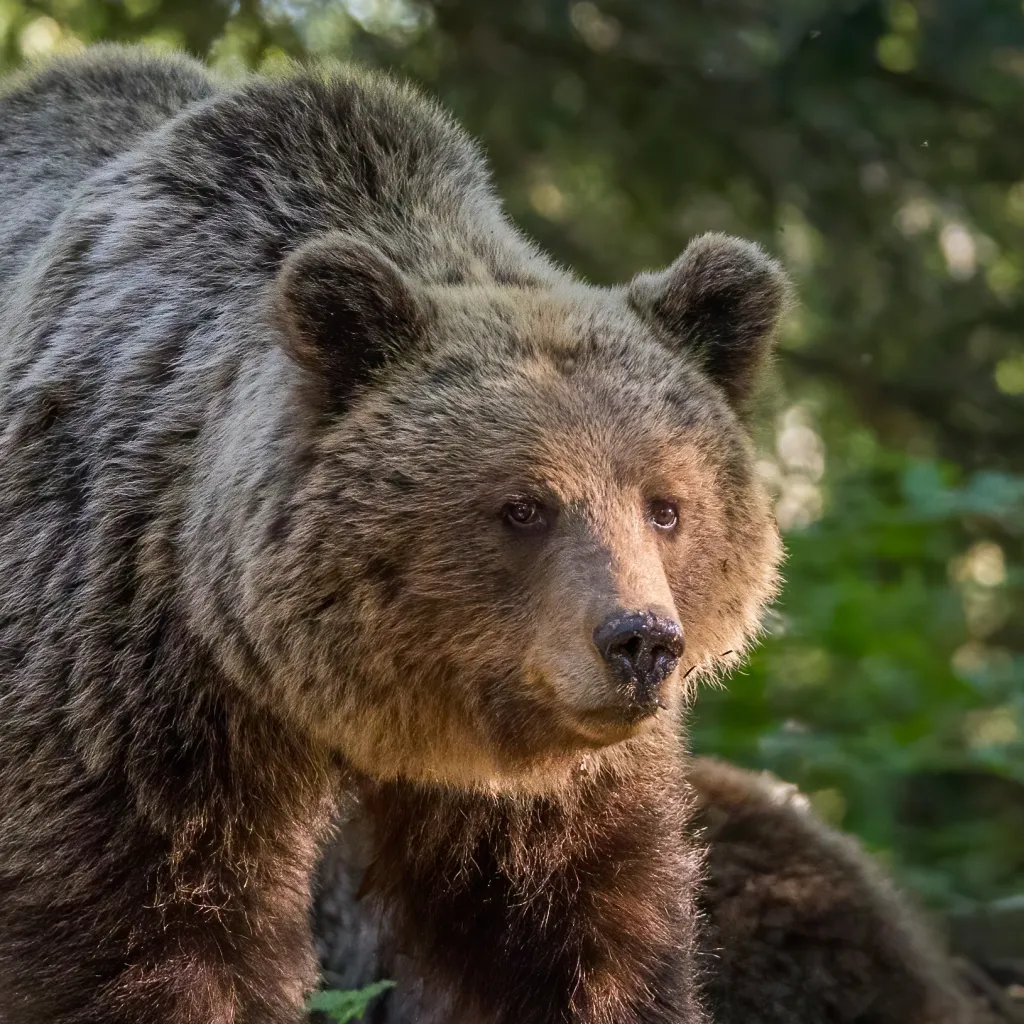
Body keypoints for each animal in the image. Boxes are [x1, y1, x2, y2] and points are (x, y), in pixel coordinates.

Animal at [0, 46, 788, 1024]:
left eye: (666, 506)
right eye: (523, 506)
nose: (640, 642)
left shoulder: (544, 777)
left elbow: (583, 931)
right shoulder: (120, 675)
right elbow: (141, 929)